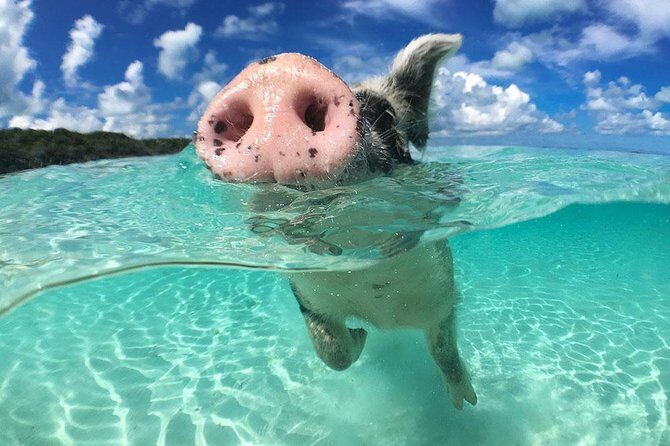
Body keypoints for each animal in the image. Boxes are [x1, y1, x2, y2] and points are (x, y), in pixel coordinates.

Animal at [194, 34, 477, 409]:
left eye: (387, 115)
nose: (276, 73)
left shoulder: (442, 291)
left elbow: (444, 347)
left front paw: (465, 403)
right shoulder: (307, 296)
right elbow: (334, 353)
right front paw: (360, 335)